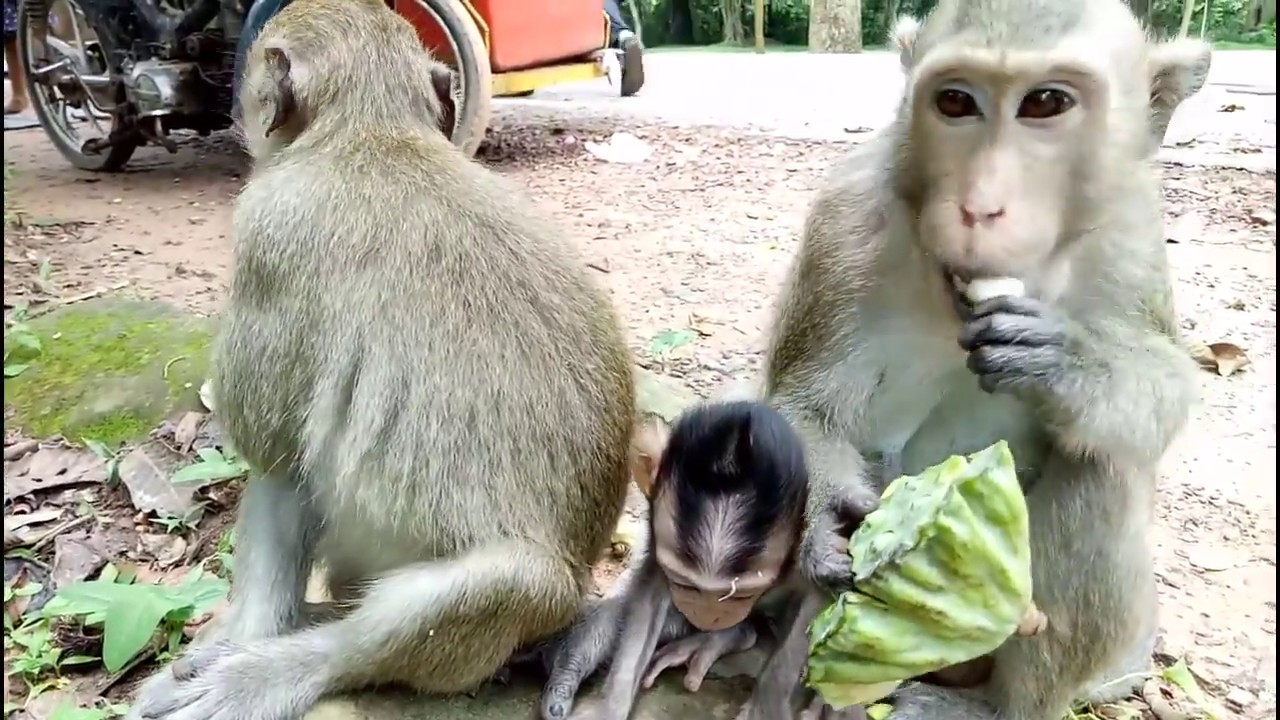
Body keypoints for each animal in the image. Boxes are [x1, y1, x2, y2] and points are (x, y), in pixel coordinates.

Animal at [123, 0, 636, 718]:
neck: (373, 131)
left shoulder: (265, 232)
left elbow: (266, 445)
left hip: (504, 615)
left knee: (488, 579)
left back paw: (271, 661)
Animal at [731, 1, 1210, 719]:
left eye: (1046, 103)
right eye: (955, 102)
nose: (980, 207)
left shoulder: (1133, 234)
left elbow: (1169, 383)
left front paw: (1067, 364)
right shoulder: (846, 220)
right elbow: (805, 408)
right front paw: (828, 520)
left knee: (1103, 468)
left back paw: (1002, 707)